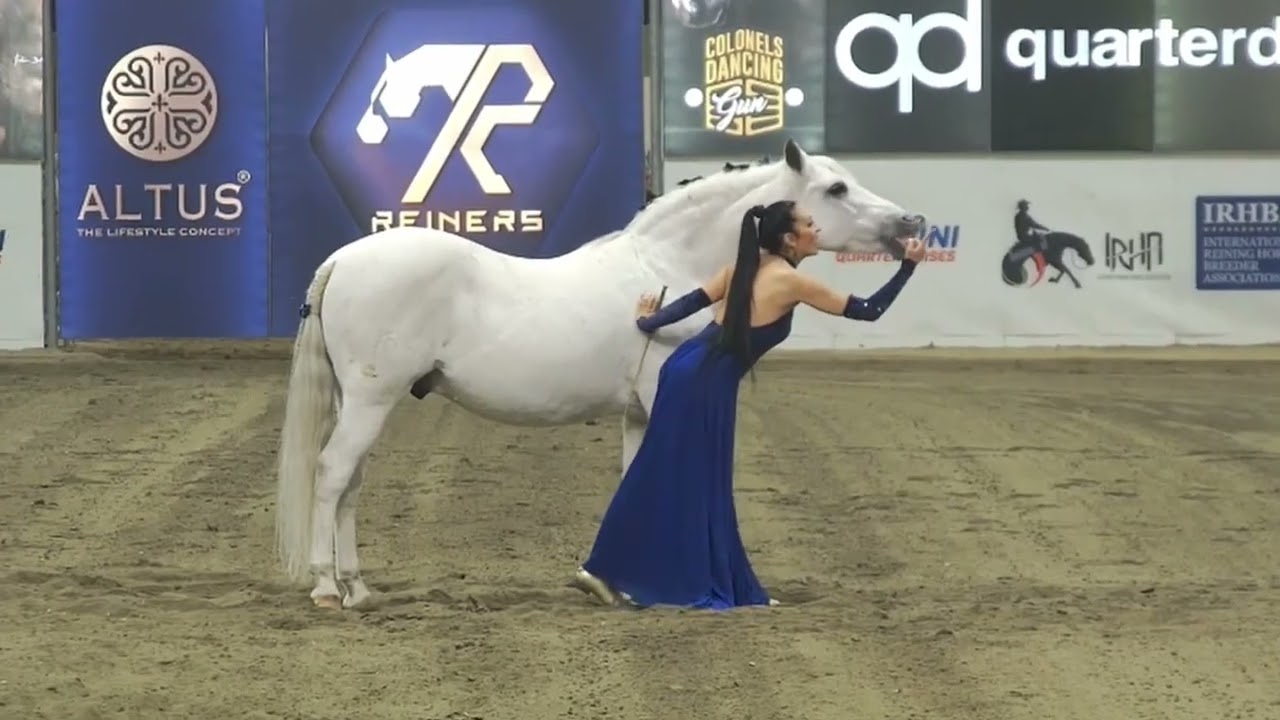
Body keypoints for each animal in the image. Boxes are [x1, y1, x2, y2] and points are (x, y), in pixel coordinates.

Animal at [274, 138, 928, 610]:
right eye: (836, 187)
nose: (911, 223)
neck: (669, 265)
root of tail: (342, 260)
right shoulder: (661, 398)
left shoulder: (638, 412)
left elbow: (633, 476)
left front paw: (617, 581)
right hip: (370, 400)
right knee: (332, 475)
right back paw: (327, 588)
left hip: (361, 403)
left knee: (351, 485)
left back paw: (358, 588)